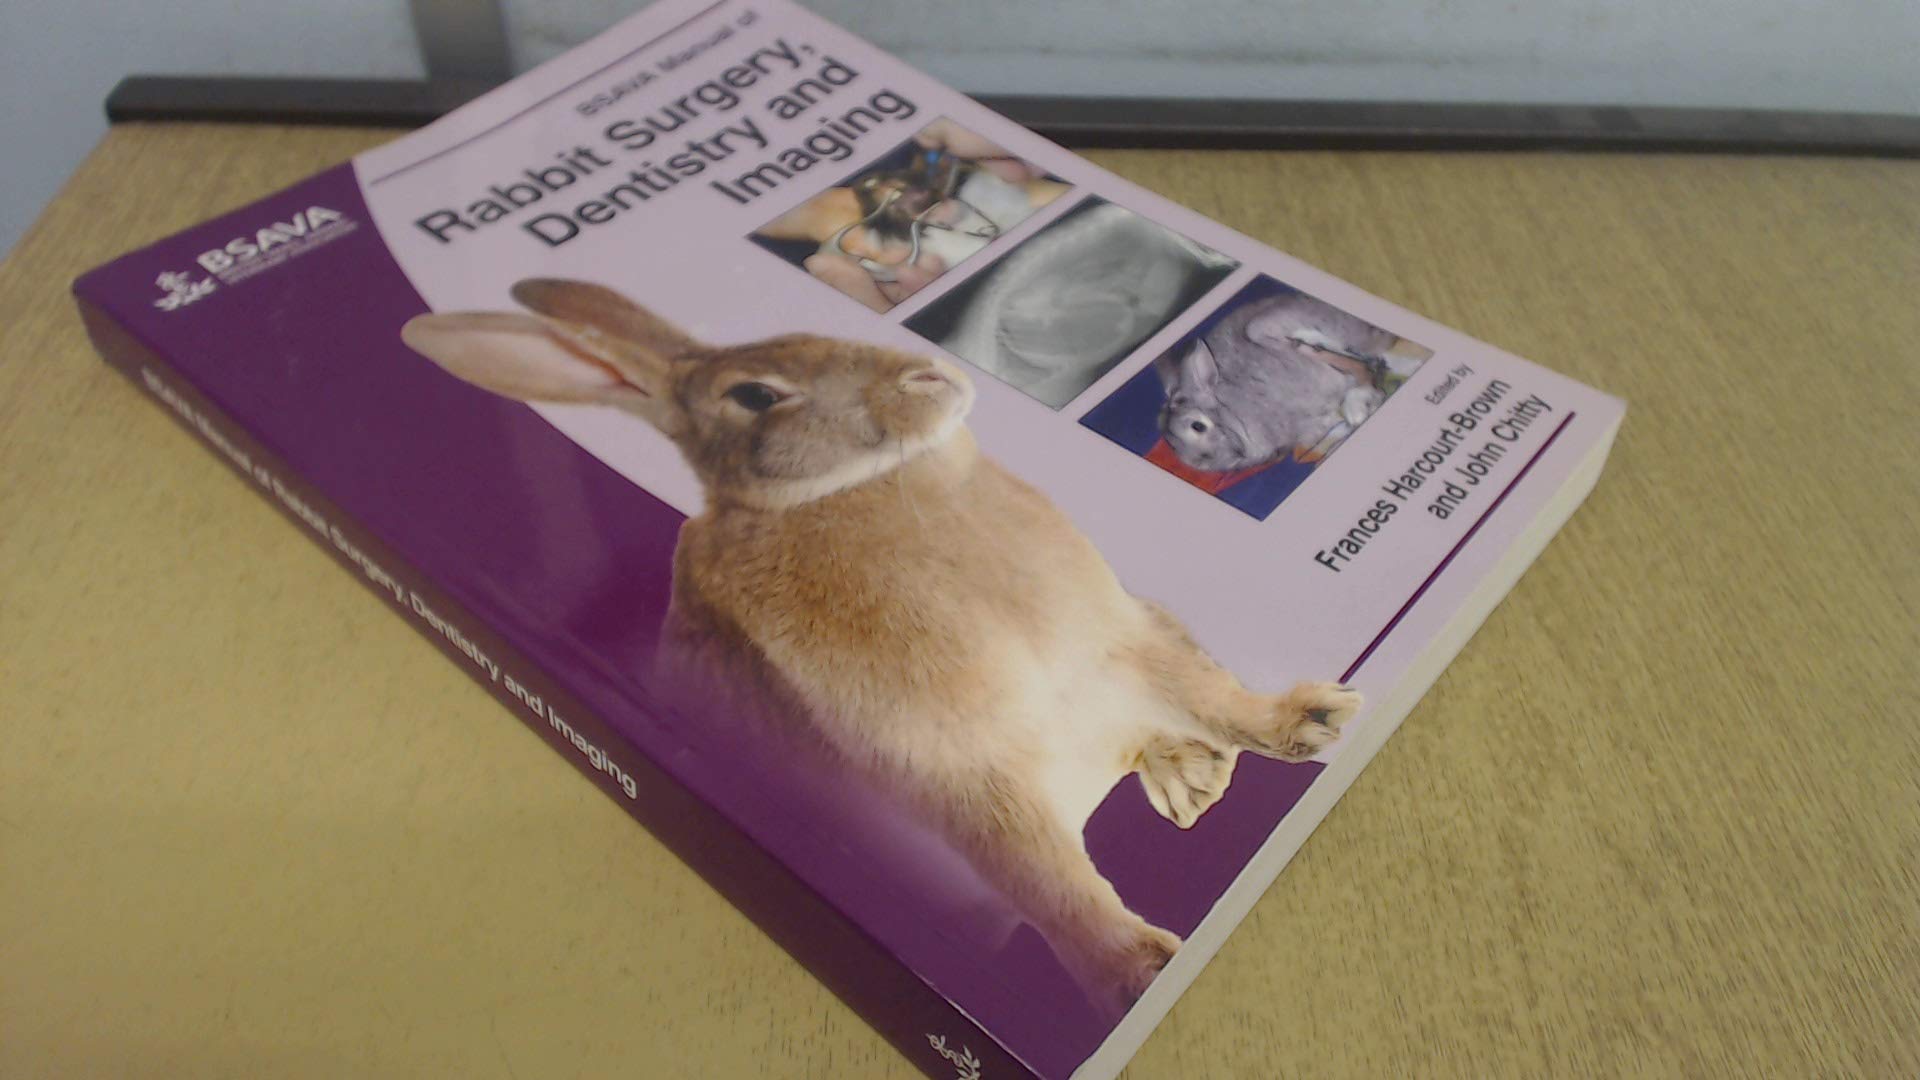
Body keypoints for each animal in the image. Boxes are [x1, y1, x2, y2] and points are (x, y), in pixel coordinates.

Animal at [400, 279, 1361, 1015]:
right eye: (756, 394)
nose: (929, 375)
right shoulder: (963, 777)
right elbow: (1050, 881)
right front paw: (1143, 974)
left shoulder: (1113, 640)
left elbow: (1214, 698)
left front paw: (1318, 722)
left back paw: (1194, 777)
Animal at [1157, 292, 1411, 471]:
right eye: (1173, 448)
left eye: (1197, 426)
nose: (1202, 461)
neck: (1235, 411)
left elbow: (1359, 377)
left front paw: (1358, 407)